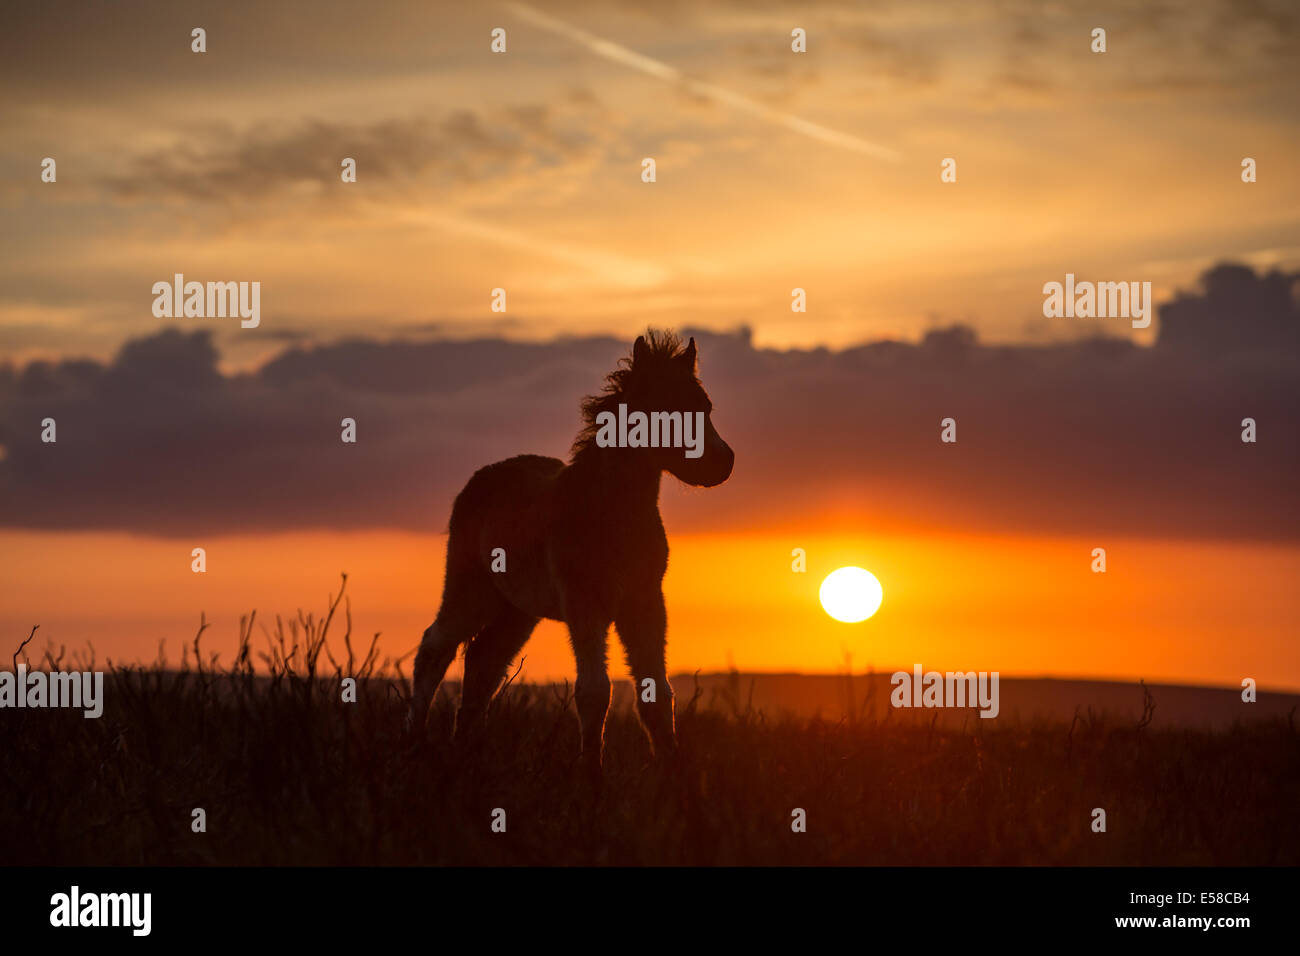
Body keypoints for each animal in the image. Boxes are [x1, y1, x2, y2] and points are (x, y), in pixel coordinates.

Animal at [408, 330, 734, 777]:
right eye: (667, 408)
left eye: (705, 407)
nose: (724, 462)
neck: (613, 514)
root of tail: (480, 479)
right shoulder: (585, 602)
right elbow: (594, 692)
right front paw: (592, 777)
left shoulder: (645, 601)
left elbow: (656, 693)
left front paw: (673, 773)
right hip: (470, 588)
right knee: (435, 647)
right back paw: (416, 744)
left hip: (517, 609)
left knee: (483, 662)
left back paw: (466, 754)